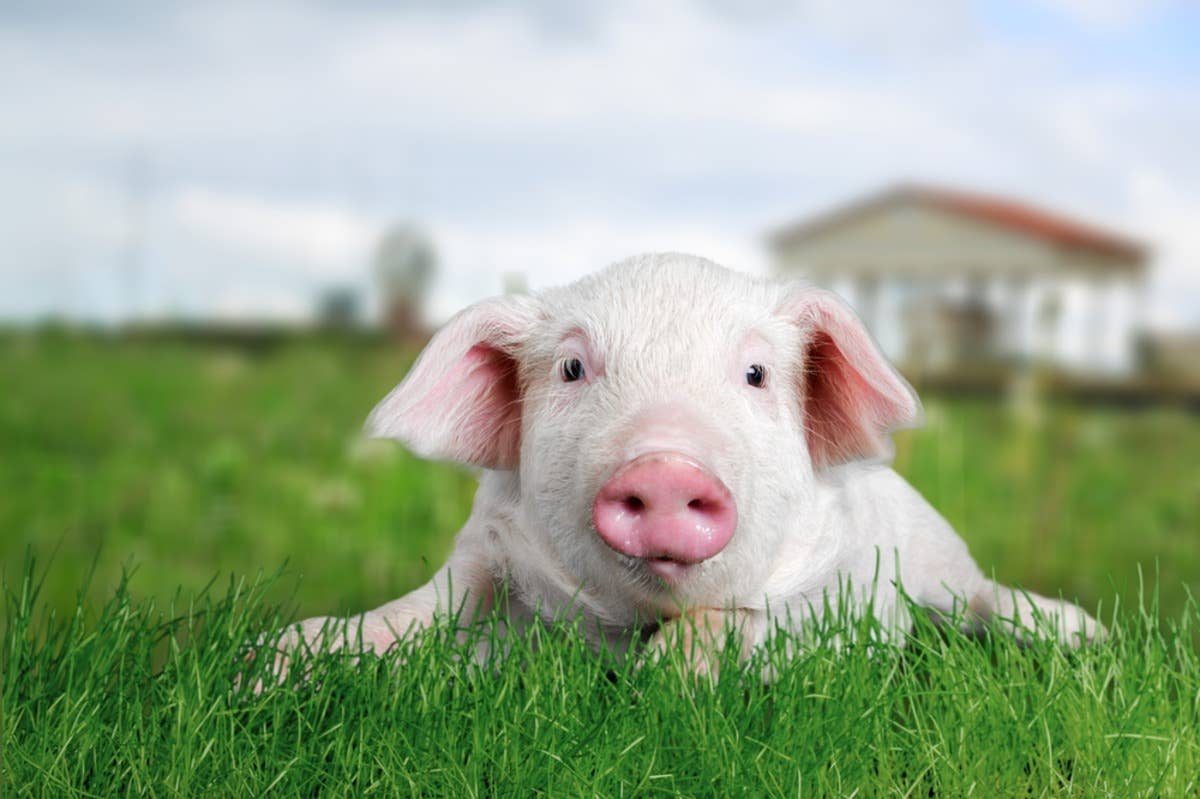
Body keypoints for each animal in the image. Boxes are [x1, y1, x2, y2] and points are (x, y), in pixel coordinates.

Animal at [272, 253, 1101, 672]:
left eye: (756, 374)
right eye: (572, 367)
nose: (666, 466)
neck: (629, 622)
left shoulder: (815, 594)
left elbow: (737, 621)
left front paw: (658, 688)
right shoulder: (485, 551)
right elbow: (421, 609)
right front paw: (269, 663)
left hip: (939, 553)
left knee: (979, 597)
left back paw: (1084, 632)